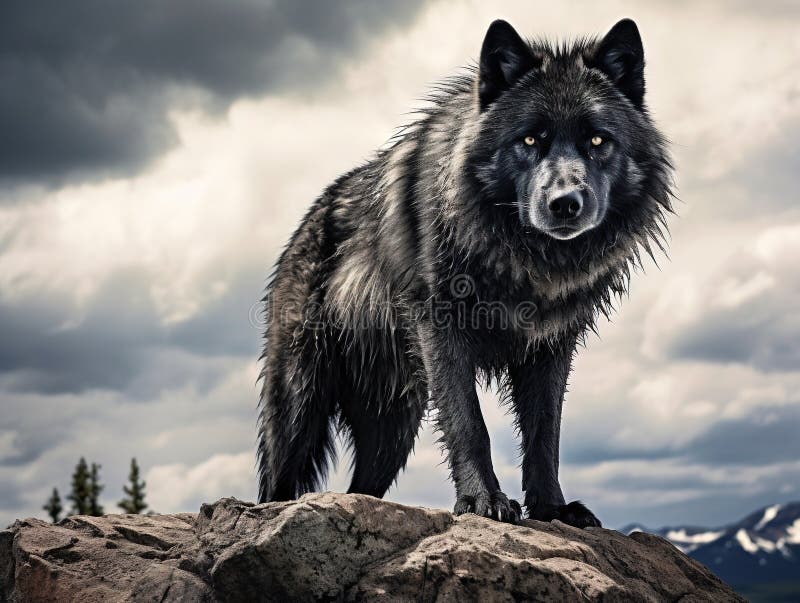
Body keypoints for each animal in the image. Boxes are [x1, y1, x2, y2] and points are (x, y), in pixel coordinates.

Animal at [257, 18, 672, 527]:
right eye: (529, 140)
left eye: (597, 141)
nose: (565, 203)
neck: (524, 262)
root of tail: (305, 222)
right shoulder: (442, 331)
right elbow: (469, 423)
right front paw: (482, 500)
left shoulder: (552, 347)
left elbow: (544, 433)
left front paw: (551, 508)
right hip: (301, 408)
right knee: (276, 488)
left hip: (394, 427)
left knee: (363, 490)